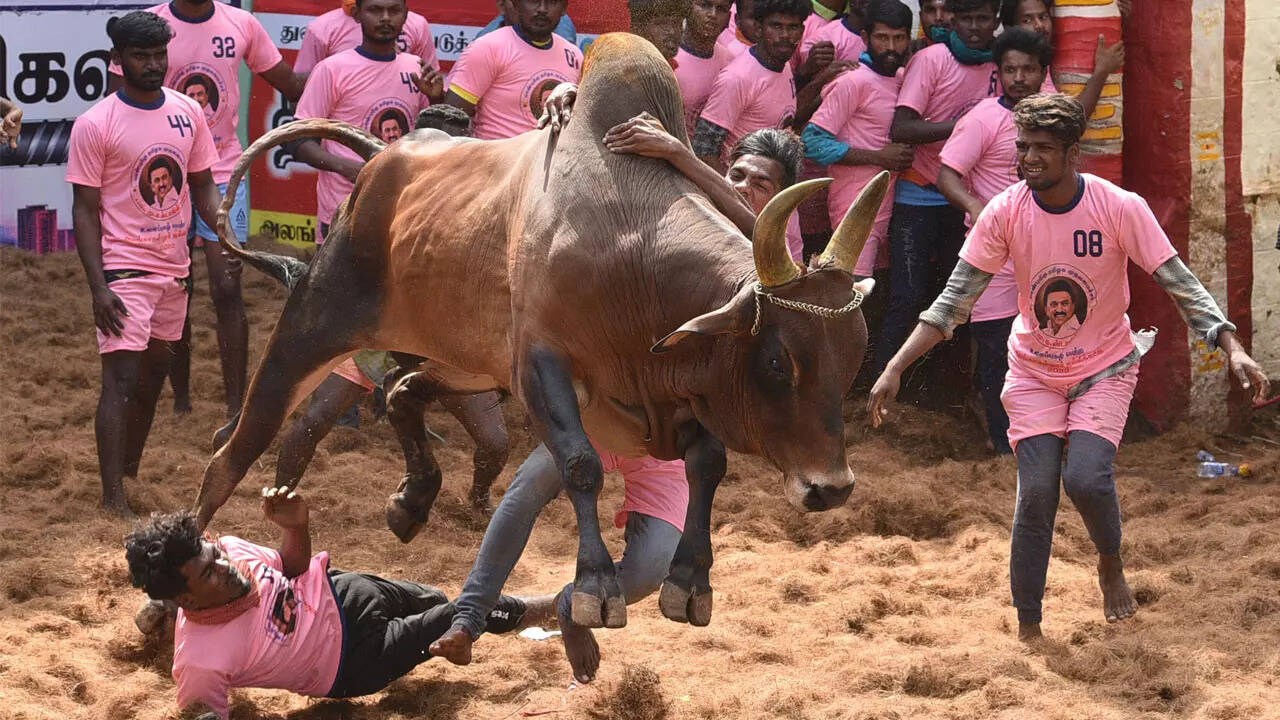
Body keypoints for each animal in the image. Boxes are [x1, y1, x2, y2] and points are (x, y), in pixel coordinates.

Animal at [196, 32, 888, 633]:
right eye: (777, 361)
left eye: (856, 355)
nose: (831, 488)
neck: (632, 250)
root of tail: (379, 159)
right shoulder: (540, 365)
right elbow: (582, 465)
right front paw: (596, 587)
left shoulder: (668, 395)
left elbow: (708, 463)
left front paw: (691, 580)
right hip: (313, 326)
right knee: (232, 454)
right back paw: (190, 568)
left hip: (466, 361)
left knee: (401, 391)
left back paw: (413, 499)